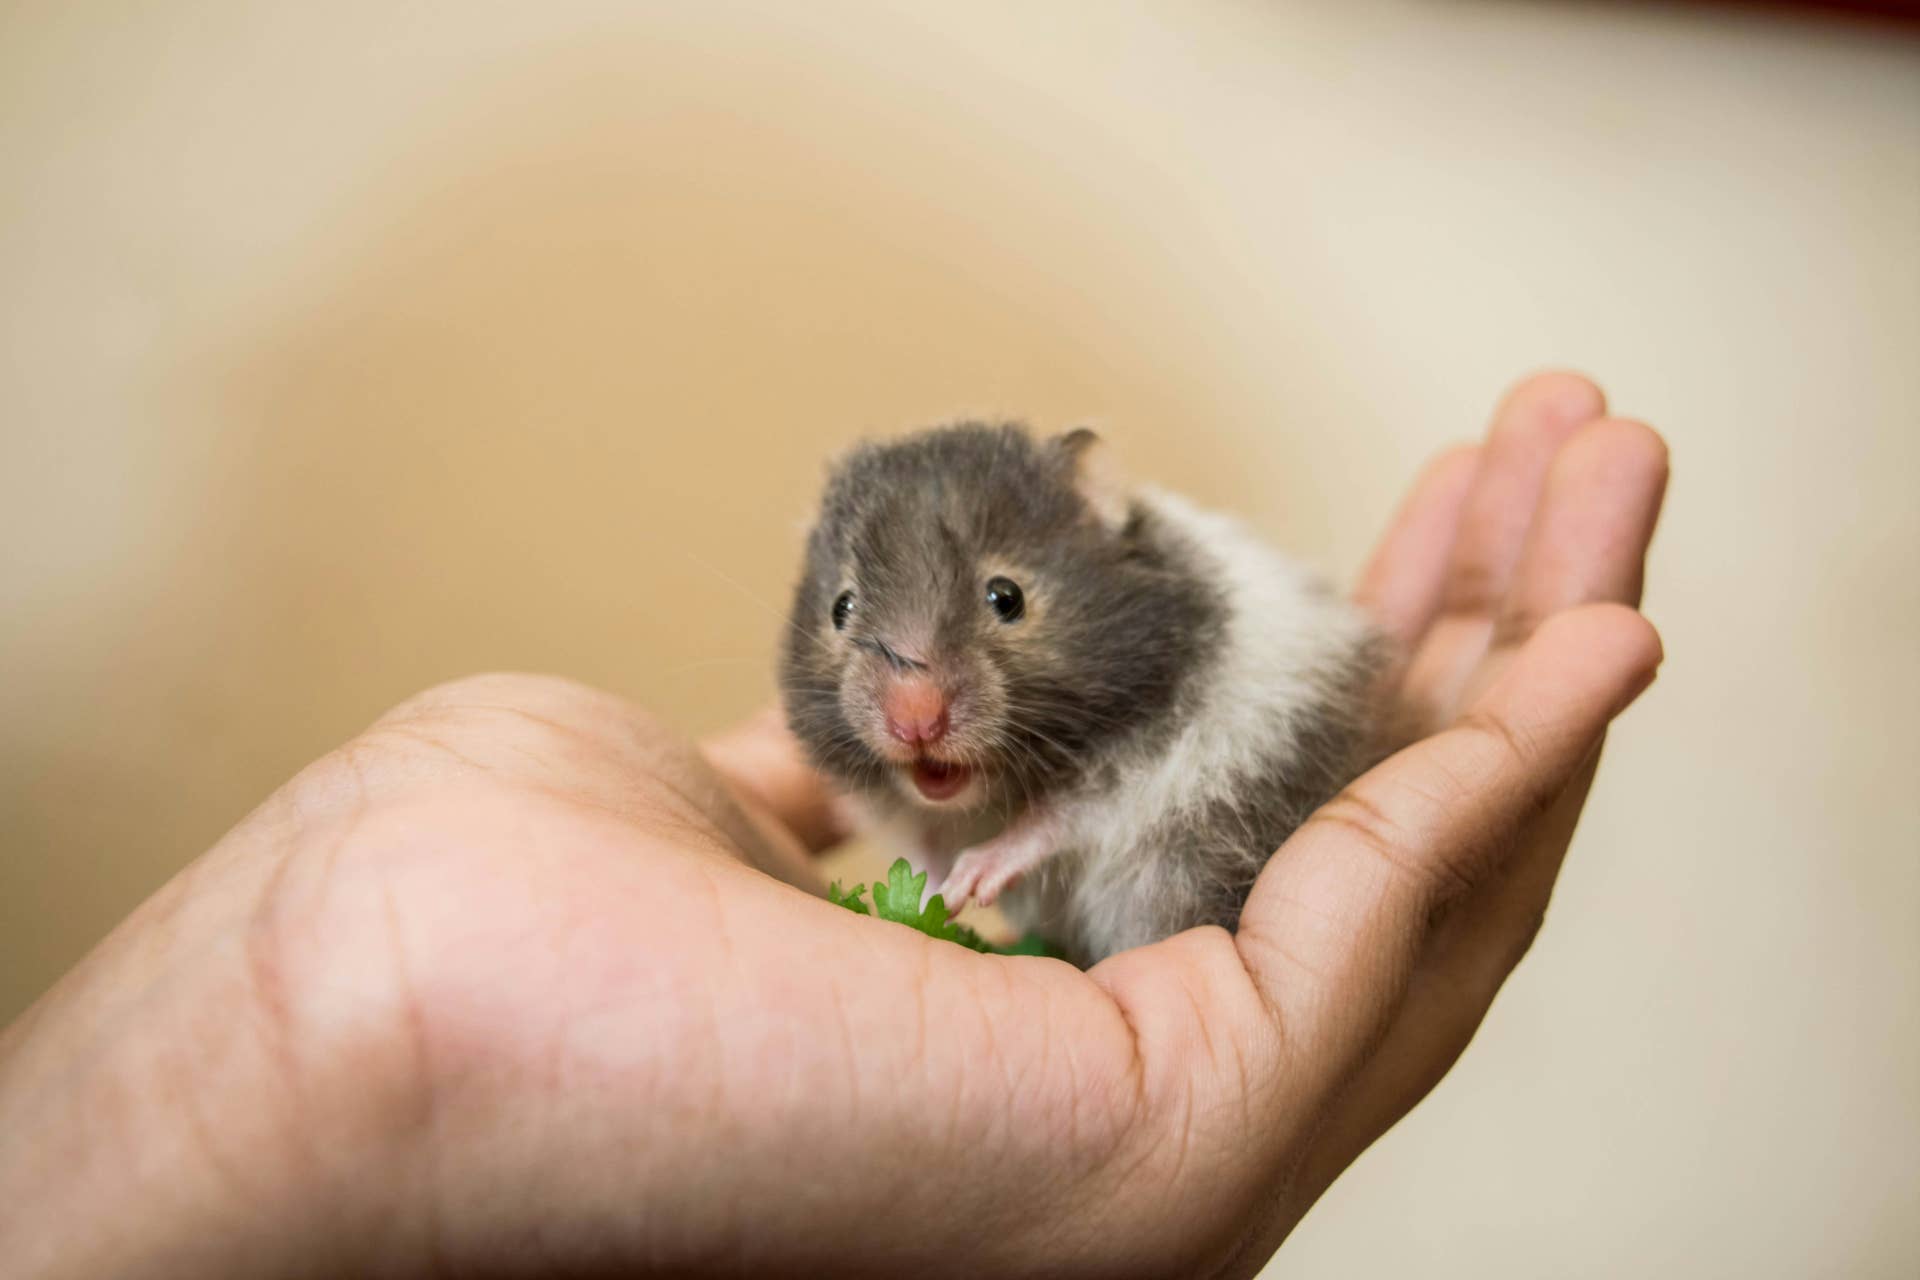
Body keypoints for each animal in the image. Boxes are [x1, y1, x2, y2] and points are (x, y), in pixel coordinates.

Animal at [781, 422, 1386, 966]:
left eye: (1007, 597)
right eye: (841, 608)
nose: (913, 722)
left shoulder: (1143, 763)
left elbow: (1055, 819)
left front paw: (972, 878)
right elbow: (922, 846)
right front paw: (935, 895)